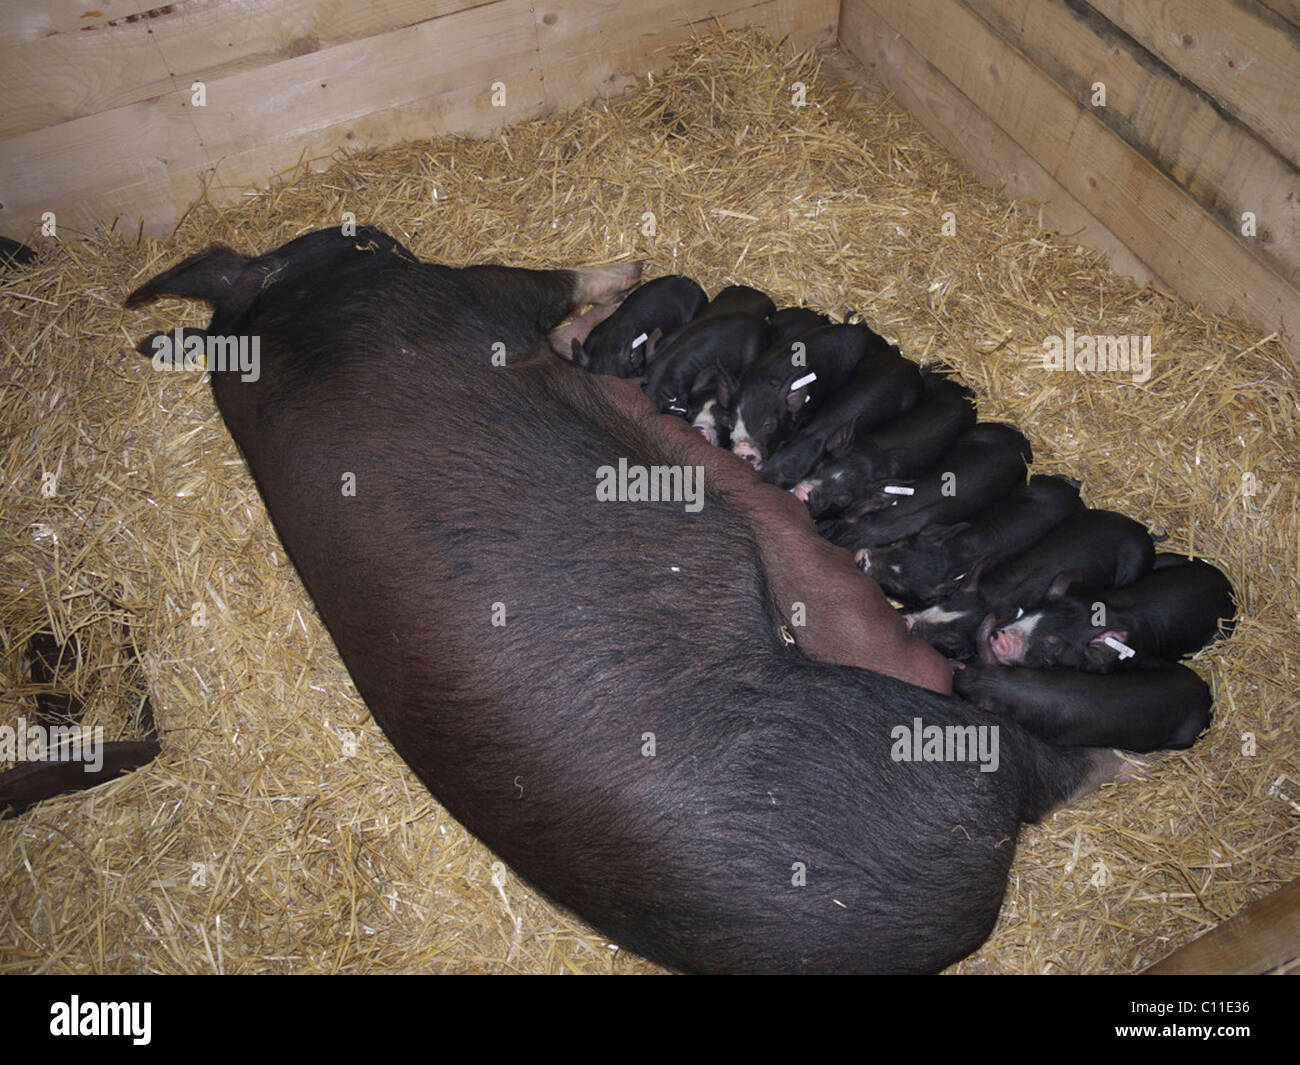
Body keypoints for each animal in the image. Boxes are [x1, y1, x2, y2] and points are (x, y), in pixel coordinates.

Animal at [904, 509, 1156, 660]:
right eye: (944, 599)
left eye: (952, 640)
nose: (910, 624)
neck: (993, 600)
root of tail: (1142, 530)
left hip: (1135, 565)